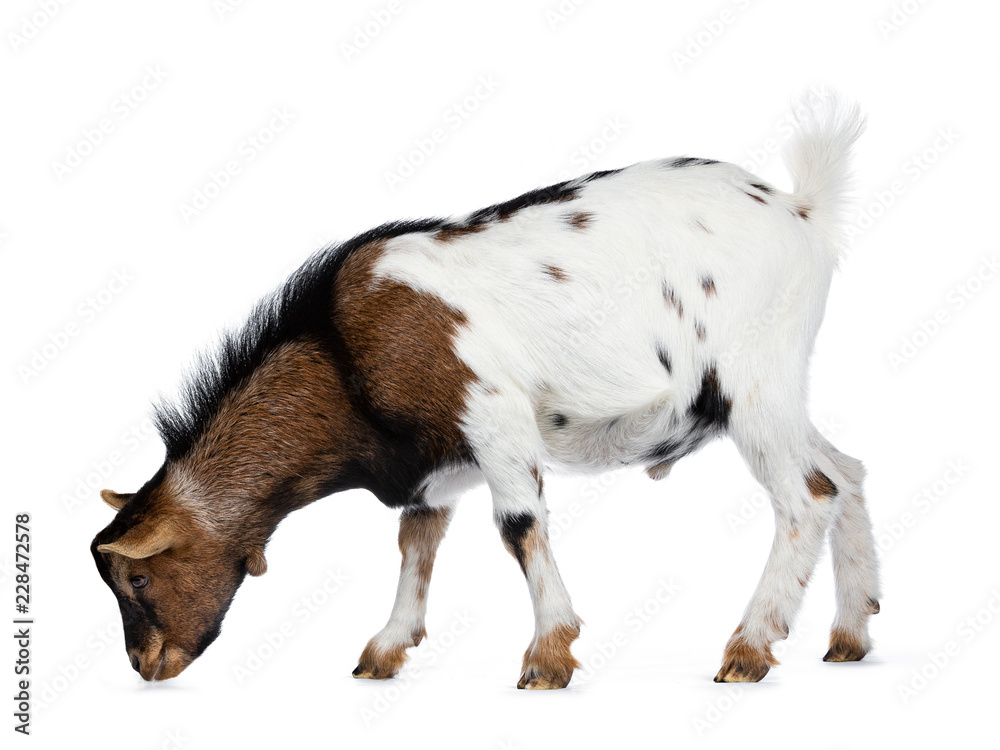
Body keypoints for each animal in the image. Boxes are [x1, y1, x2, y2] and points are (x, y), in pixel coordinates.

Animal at [92, 92, 880, 687]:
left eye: (137, 581)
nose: (145, 665)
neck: (341, 353)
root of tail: (801, 209)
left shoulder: (494, 417)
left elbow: (519, 526)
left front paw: (547, 656)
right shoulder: (434, 469)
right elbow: (416, 543)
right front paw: (385, 650)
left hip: (753, 384)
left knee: (807, 496)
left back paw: (748, 648)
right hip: (776, 393)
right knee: (846, 472)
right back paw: (849, 634)